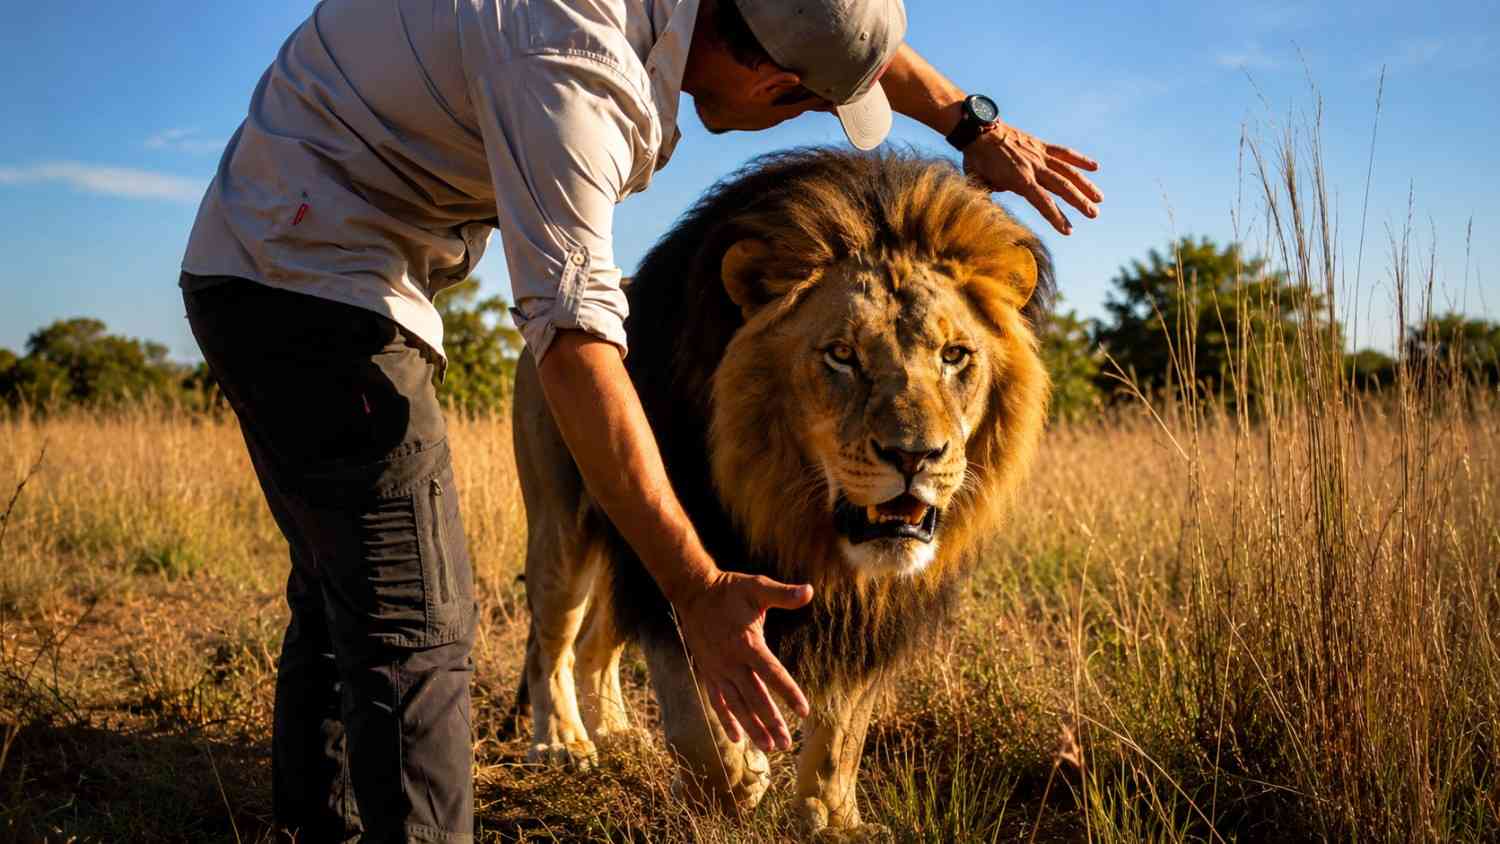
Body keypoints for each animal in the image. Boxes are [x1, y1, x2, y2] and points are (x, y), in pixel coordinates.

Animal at [511, 147, 1052, 839]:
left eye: (956, 355)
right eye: (842, 355)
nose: (915, 457)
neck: (795, 519)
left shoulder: (865, 615)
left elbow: (844, 727)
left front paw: (832, 818)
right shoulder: (682, 560)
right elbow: (696, 704)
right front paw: (741, 776)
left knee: (594, 643)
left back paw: (617, 731)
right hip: (564, 528)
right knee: (548, 640)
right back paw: (563, 744)